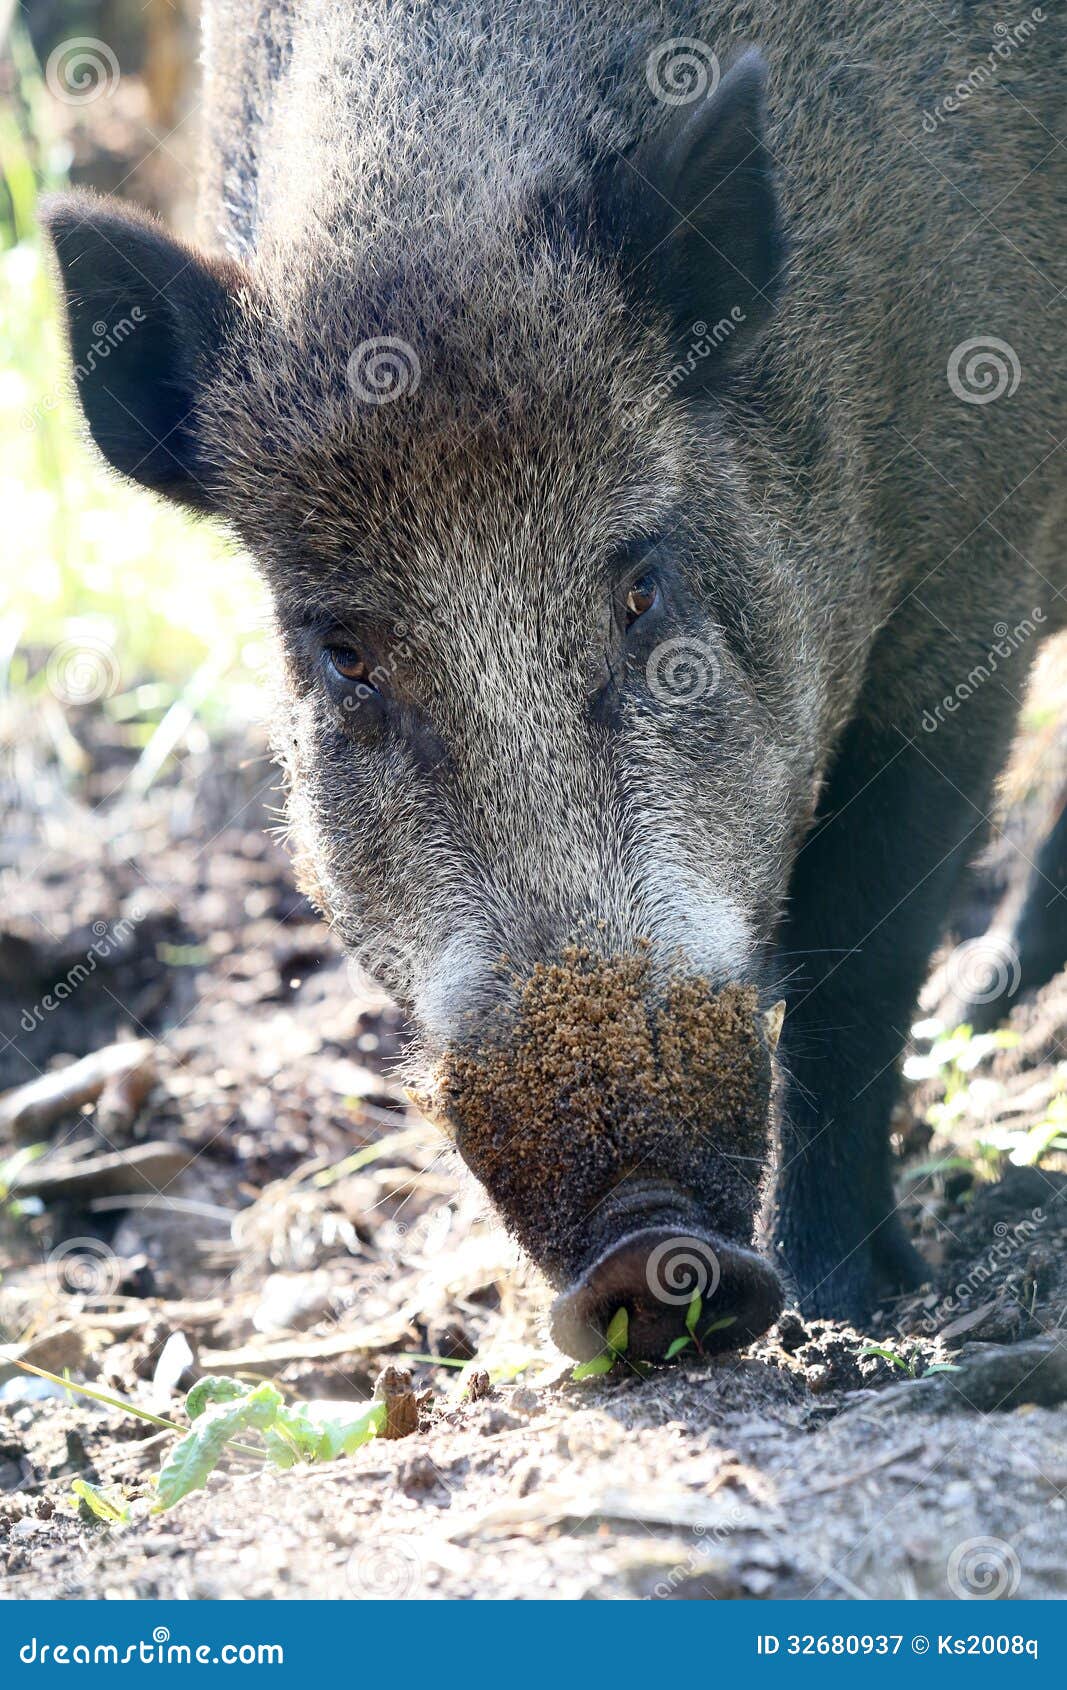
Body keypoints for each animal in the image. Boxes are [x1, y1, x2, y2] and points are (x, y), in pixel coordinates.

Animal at [42, 1, 1067, 1361]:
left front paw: (838, 1304)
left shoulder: (967, 591)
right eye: (342, 654)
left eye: (641, 587)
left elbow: (859, 956)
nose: (644, 1246)